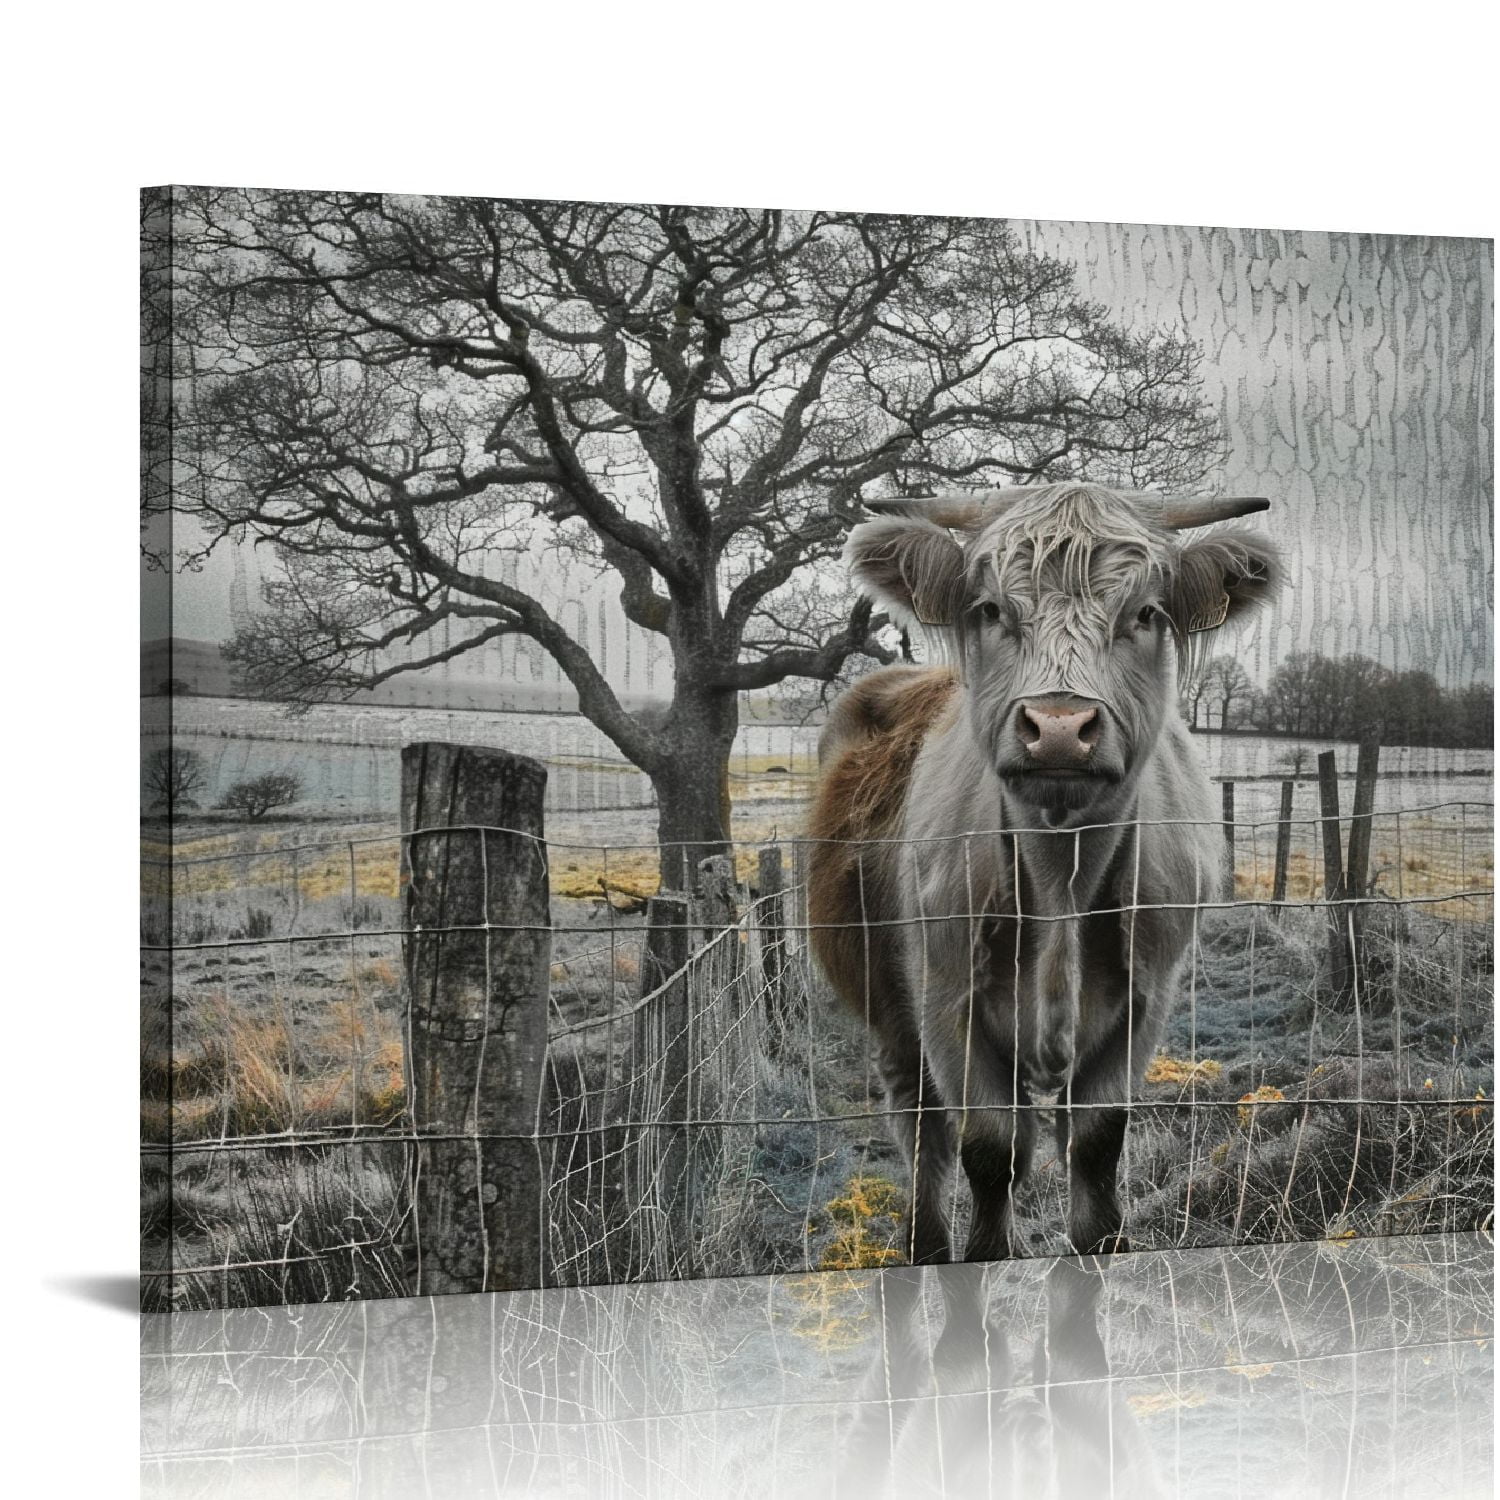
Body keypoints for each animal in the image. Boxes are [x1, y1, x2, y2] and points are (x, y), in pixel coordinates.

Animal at [808, 482, 1281, 1263]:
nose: (1059, 728)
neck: (1062, 879)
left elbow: (1093, 1148)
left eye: (1145, 613)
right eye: (990, 608)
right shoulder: (948, 1003)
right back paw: (924, 1246)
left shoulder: (1144, 1004)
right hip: (888, 1009)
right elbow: (989, 1150)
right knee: (921, 1129)